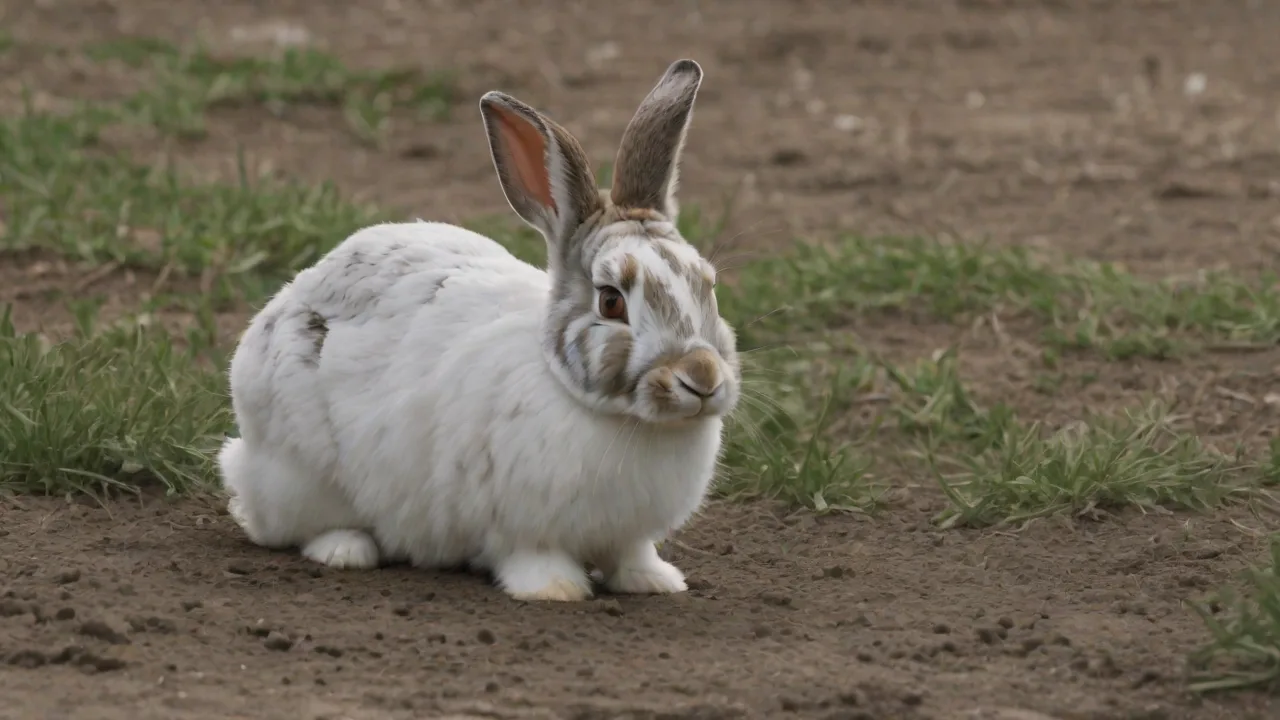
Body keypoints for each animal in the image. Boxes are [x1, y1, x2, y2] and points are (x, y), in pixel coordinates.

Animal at [216, 59, 740, 602]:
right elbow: (535, 557)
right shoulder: (522, 525)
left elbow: (632, 554)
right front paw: (556, 589)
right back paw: (346, 550)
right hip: (302, 473)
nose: (702, 378)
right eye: (611, 301)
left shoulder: (628, 535)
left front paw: (655, 582)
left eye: (707, 283)